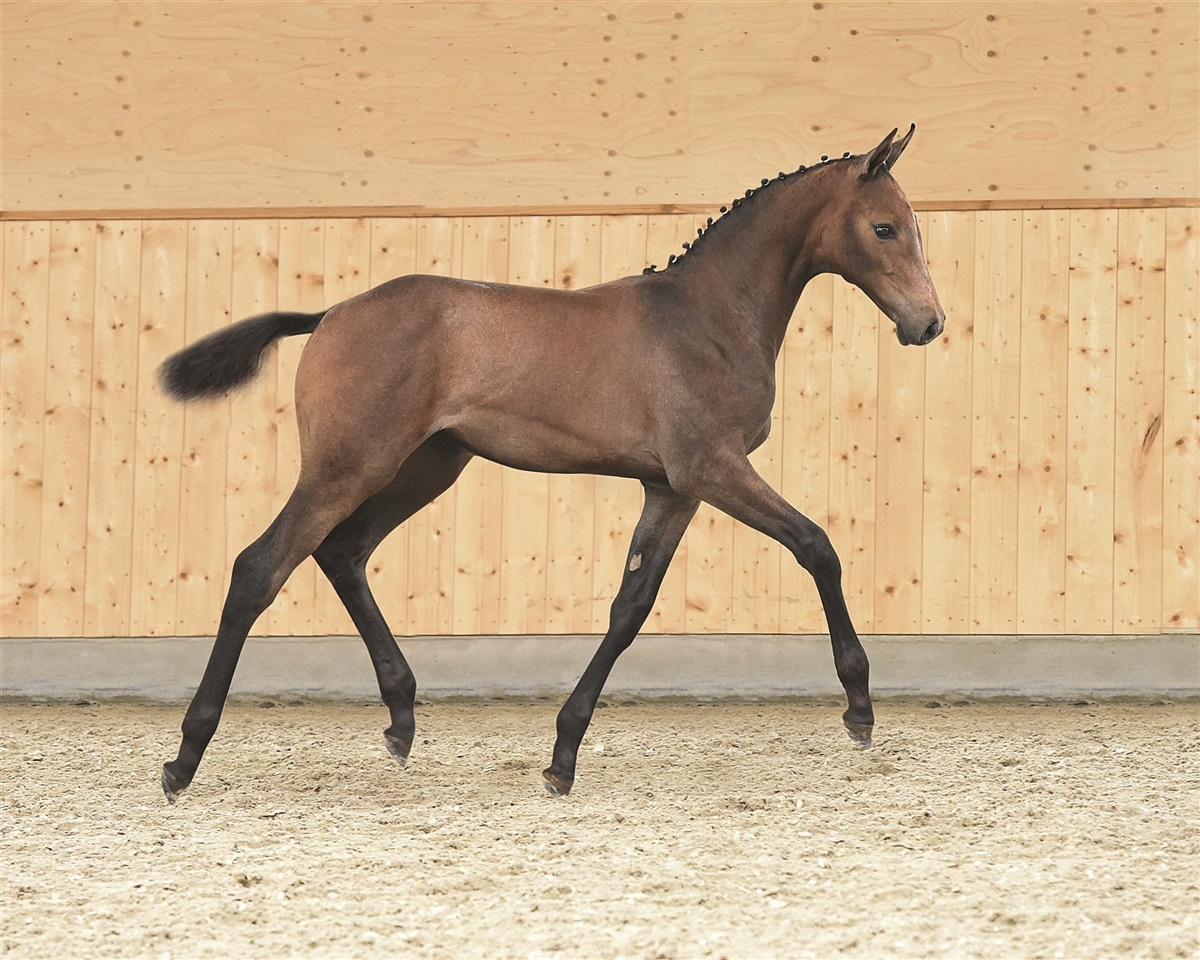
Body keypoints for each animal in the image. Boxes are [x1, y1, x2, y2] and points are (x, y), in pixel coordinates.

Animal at [157, 125, 945, 801]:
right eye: (883, 227)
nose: (928, 323)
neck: (708, 318)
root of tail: (328, 316)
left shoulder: (671, 489)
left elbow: (630, 608)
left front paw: (563, 755)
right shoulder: (712, 470)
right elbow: (818, 547)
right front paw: (860, 707)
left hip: (425, 467)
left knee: (343, 552)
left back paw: (401, 719)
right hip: (348, 466)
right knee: (260, 568)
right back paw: (184, 758)